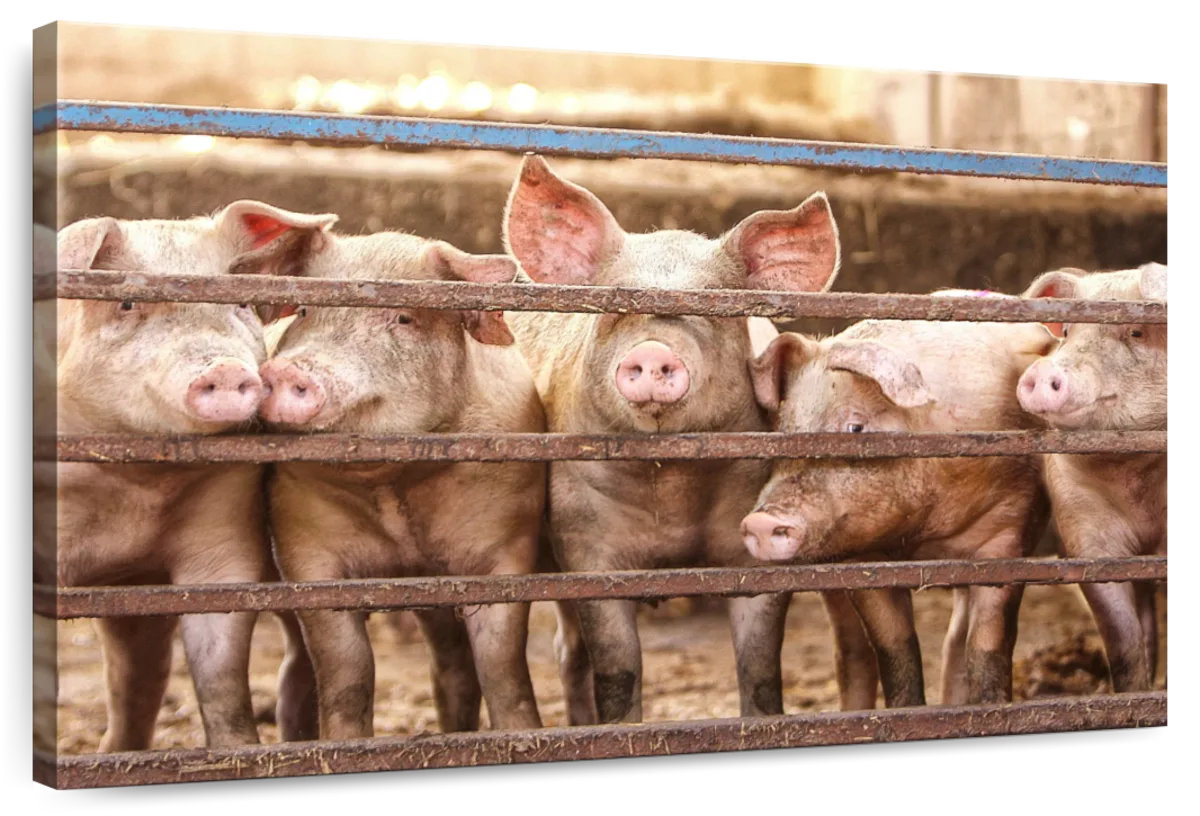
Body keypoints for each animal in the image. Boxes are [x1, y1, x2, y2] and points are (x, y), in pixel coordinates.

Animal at [35, 202, 334, 750]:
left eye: (240, 304)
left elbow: (221, 680)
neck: (139, 492)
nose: (225, 369)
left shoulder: (223, 539)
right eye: (127, 303)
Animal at [256, 230, 546, 738]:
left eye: (404, 317)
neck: (393, 483)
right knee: (296, 673)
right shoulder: (302, 546)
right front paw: (346, 744)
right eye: (306, 310)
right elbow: (347, 671)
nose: (290, 369)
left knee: (454, 668)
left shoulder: (508, 543)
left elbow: (503, 665)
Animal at [501, 155, 845, 722]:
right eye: (614, 308)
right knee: (571, 652)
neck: (673, 485)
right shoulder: (584, 540)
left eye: (712, 309)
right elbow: (618, 669)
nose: (653, 350)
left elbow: (760, 669)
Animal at [741, 313, 1055, 705]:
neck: (927, 534)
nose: (760, 521)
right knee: (851, 650)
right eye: (784, 430)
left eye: (855, 427)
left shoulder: (1008, 531)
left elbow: (988, 644)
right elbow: (894, 649)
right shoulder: (862, 557)